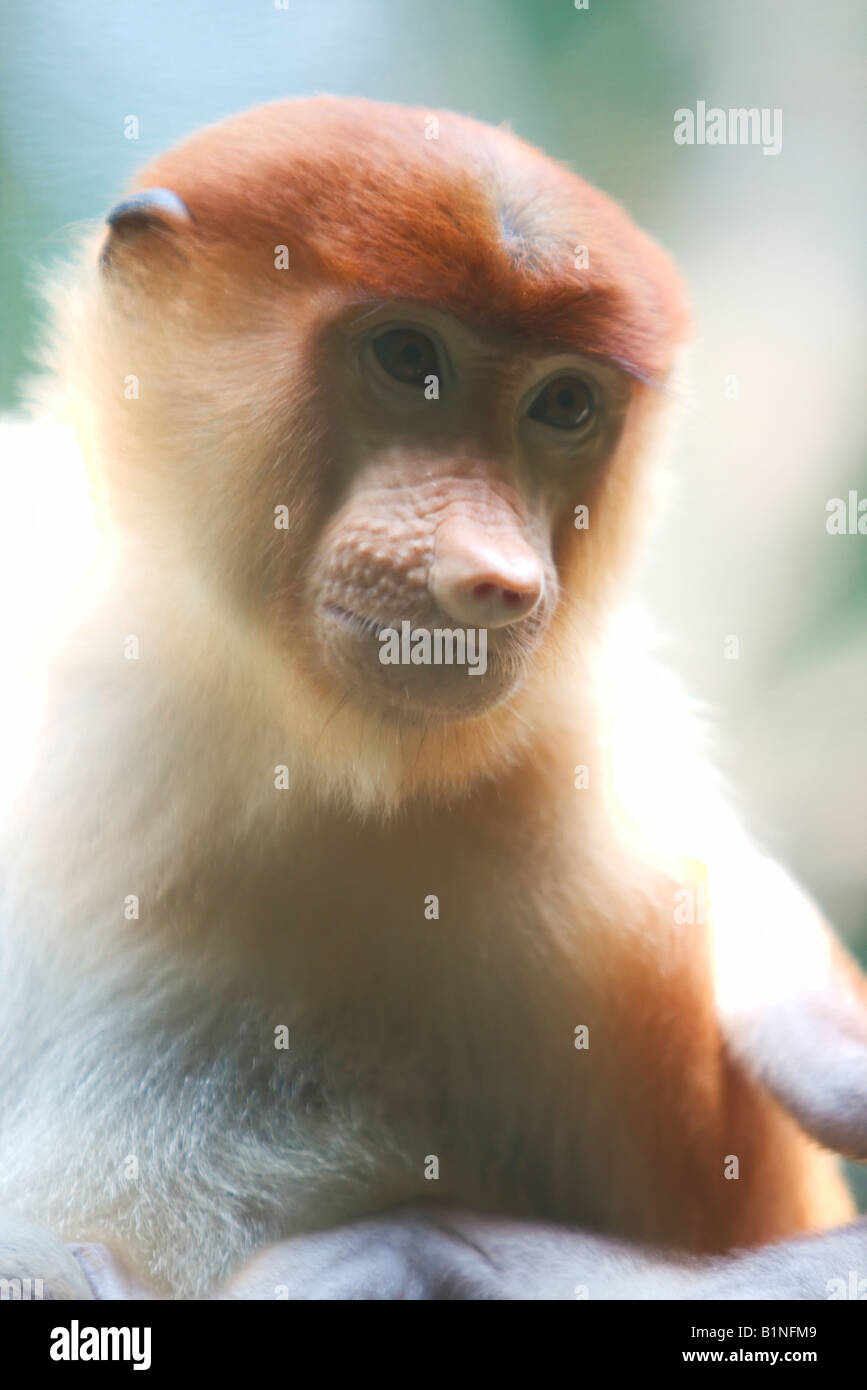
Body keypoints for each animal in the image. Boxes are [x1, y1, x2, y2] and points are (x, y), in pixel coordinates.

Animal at [0, 95, 865, 1302]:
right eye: (409, 356)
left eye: (564, 402)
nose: (493, 577)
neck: (255, 727)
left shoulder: (608, 841)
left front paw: (417, 1250)